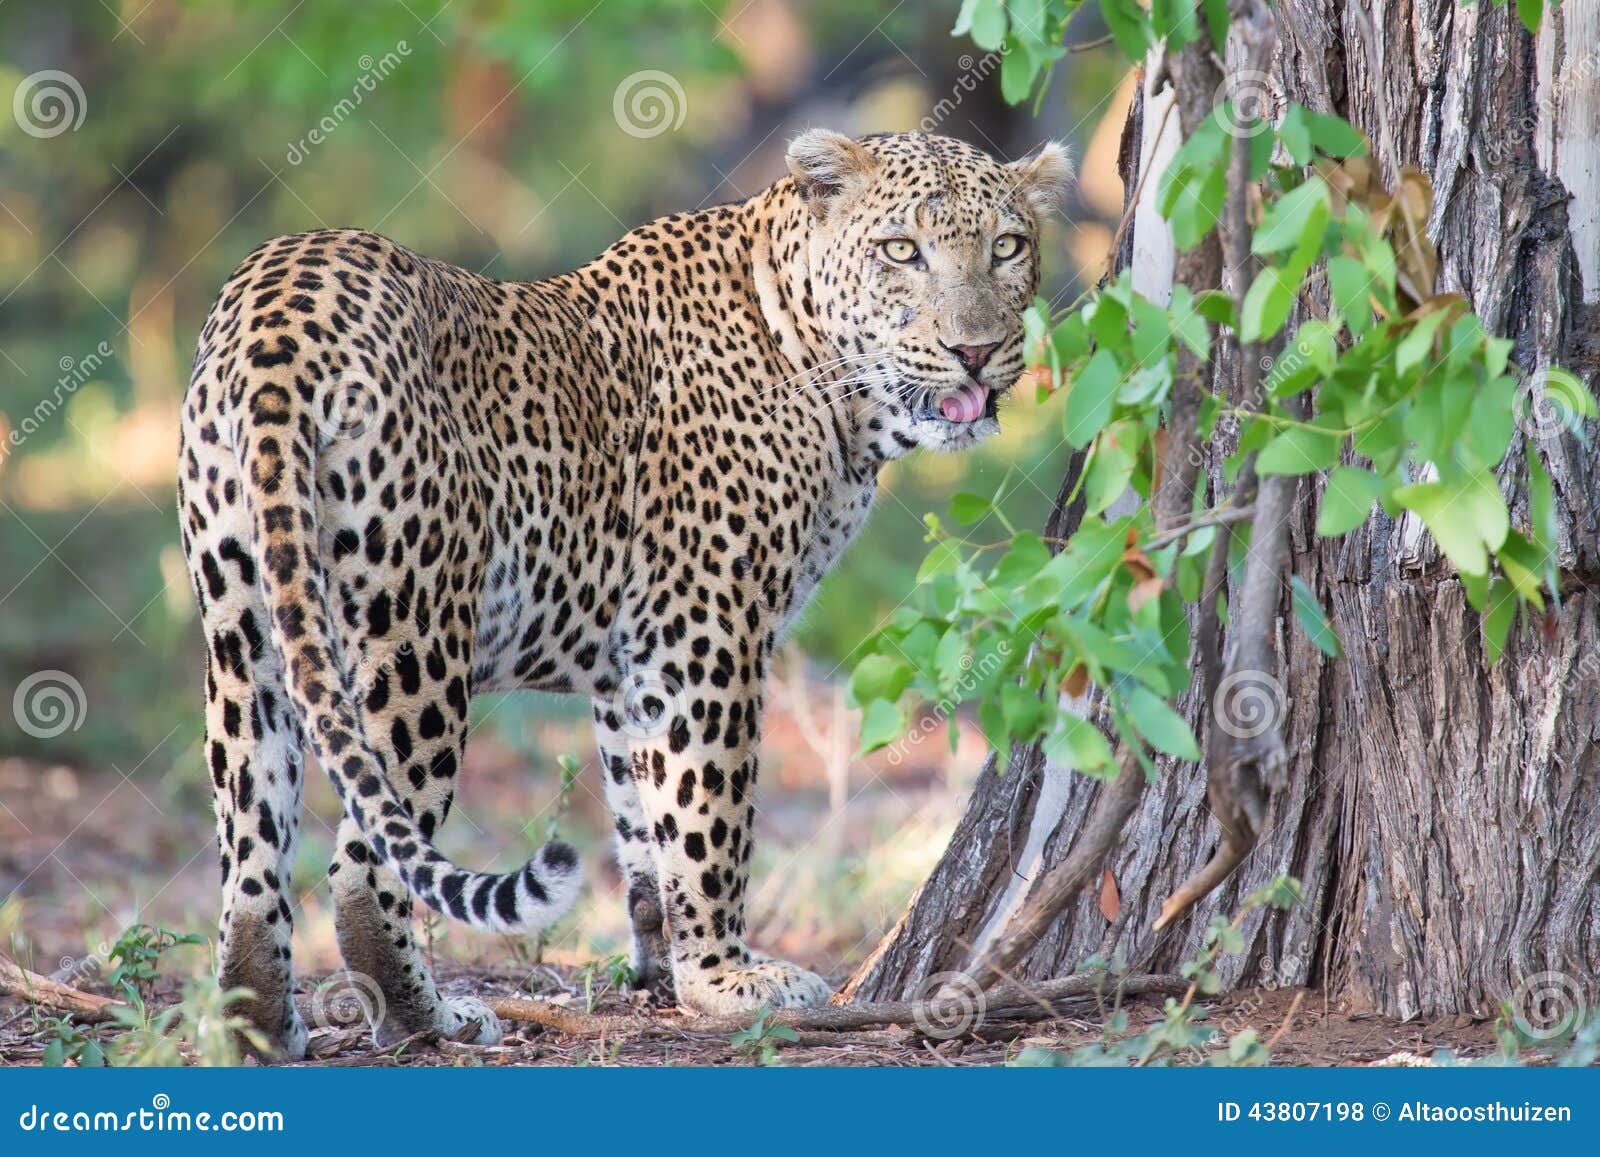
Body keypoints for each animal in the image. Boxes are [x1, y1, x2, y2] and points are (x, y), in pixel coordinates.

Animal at [177, 129, 1071, 1059]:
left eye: (1007, 247)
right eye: (901, 251)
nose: (977, 350)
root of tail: (277, 304)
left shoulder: (629, 662)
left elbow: (646, 819)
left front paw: (656, 969)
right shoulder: (707, 633)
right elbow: (710, 814)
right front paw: (725, 980)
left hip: (243, 628)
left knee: (252, 852)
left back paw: (260, 1027)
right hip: (415, 637)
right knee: (364, 865)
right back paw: (433, 1020)